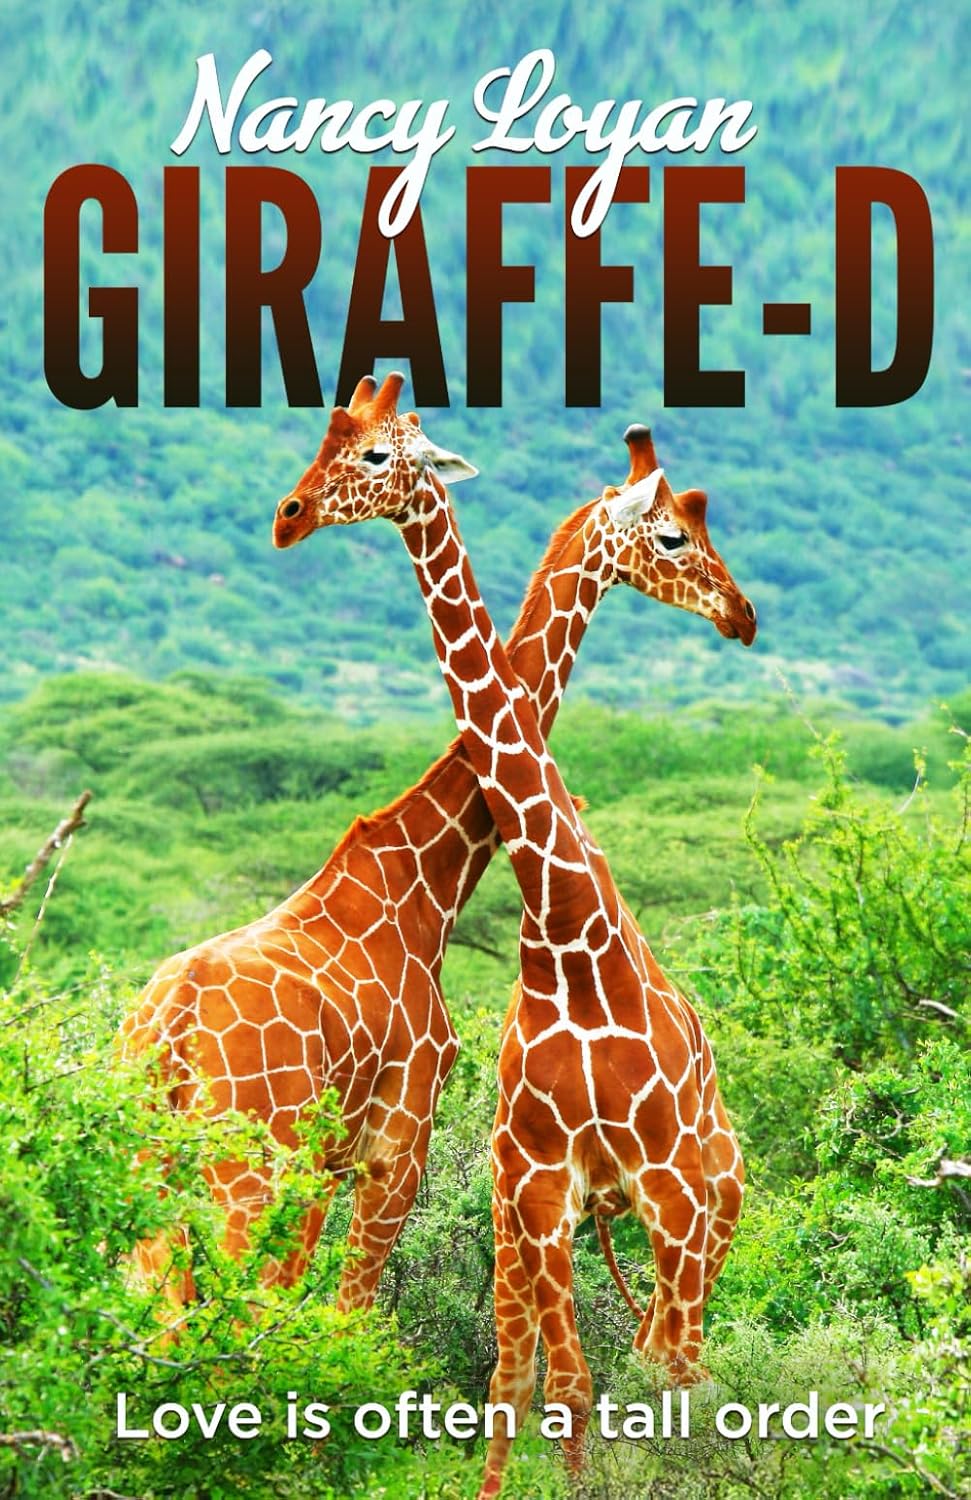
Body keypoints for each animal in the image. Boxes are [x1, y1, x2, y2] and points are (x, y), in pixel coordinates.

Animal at [271, 373, 755, 1493]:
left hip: (707, 1202)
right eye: (673, 534)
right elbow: (549, 1382)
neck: (568, 934)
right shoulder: (535, 1182)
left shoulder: (658, 1187)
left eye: (374, 454)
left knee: (680, 1359)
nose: (742, 615)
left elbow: (626, 1375)